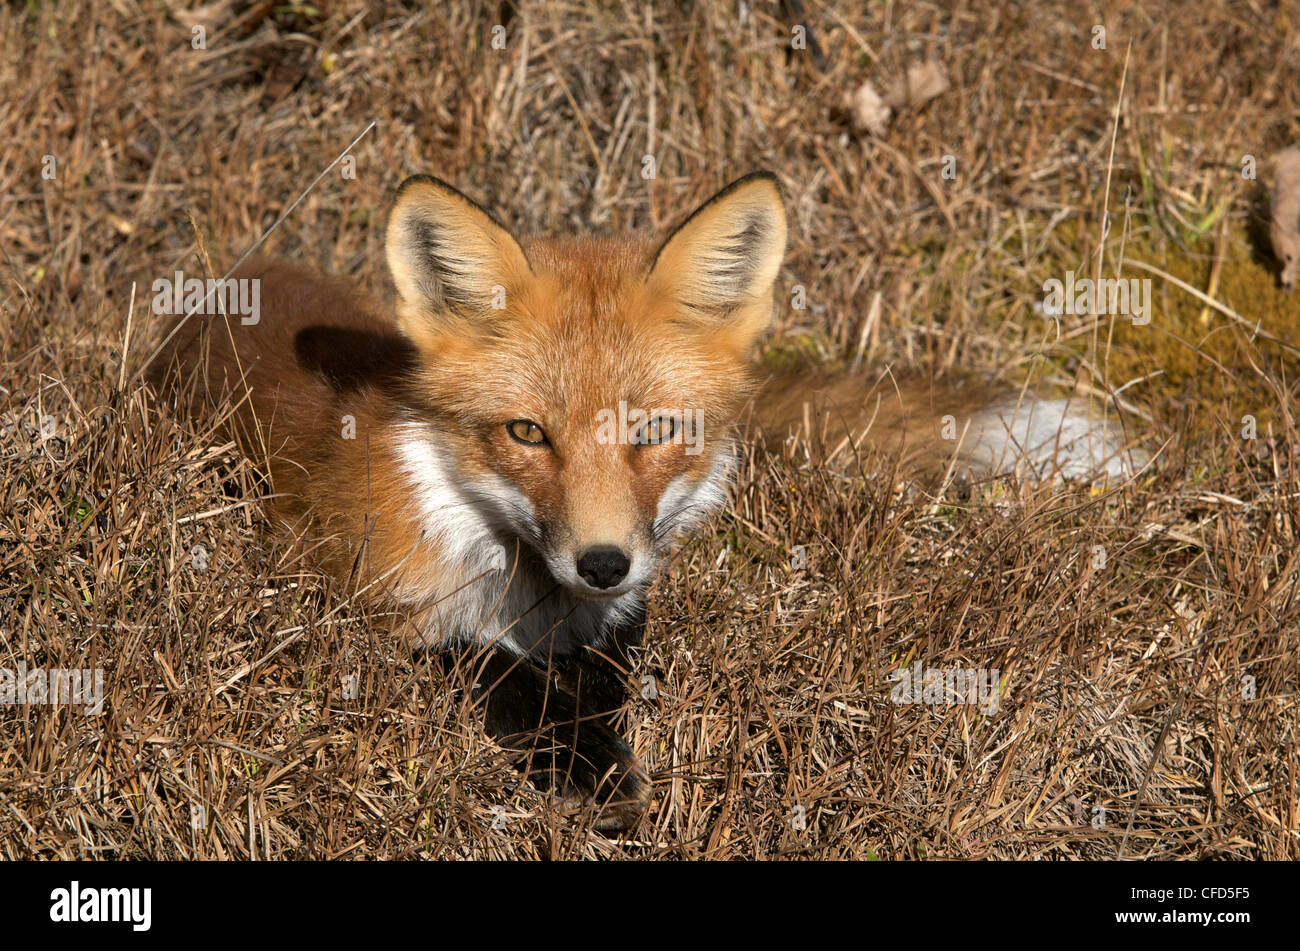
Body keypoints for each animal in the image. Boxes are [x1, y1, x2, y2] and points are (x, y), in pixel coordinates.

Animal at [150, 172, 1143, 830]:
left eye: (656, 430)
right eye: (527, 433)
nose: (601, 561)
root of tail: (233, 282)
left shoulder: (617, 612)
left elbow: (610, 662)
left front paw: (602, 728)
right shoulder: (349, 602)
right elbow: (489, 669)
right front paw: (589, 769)